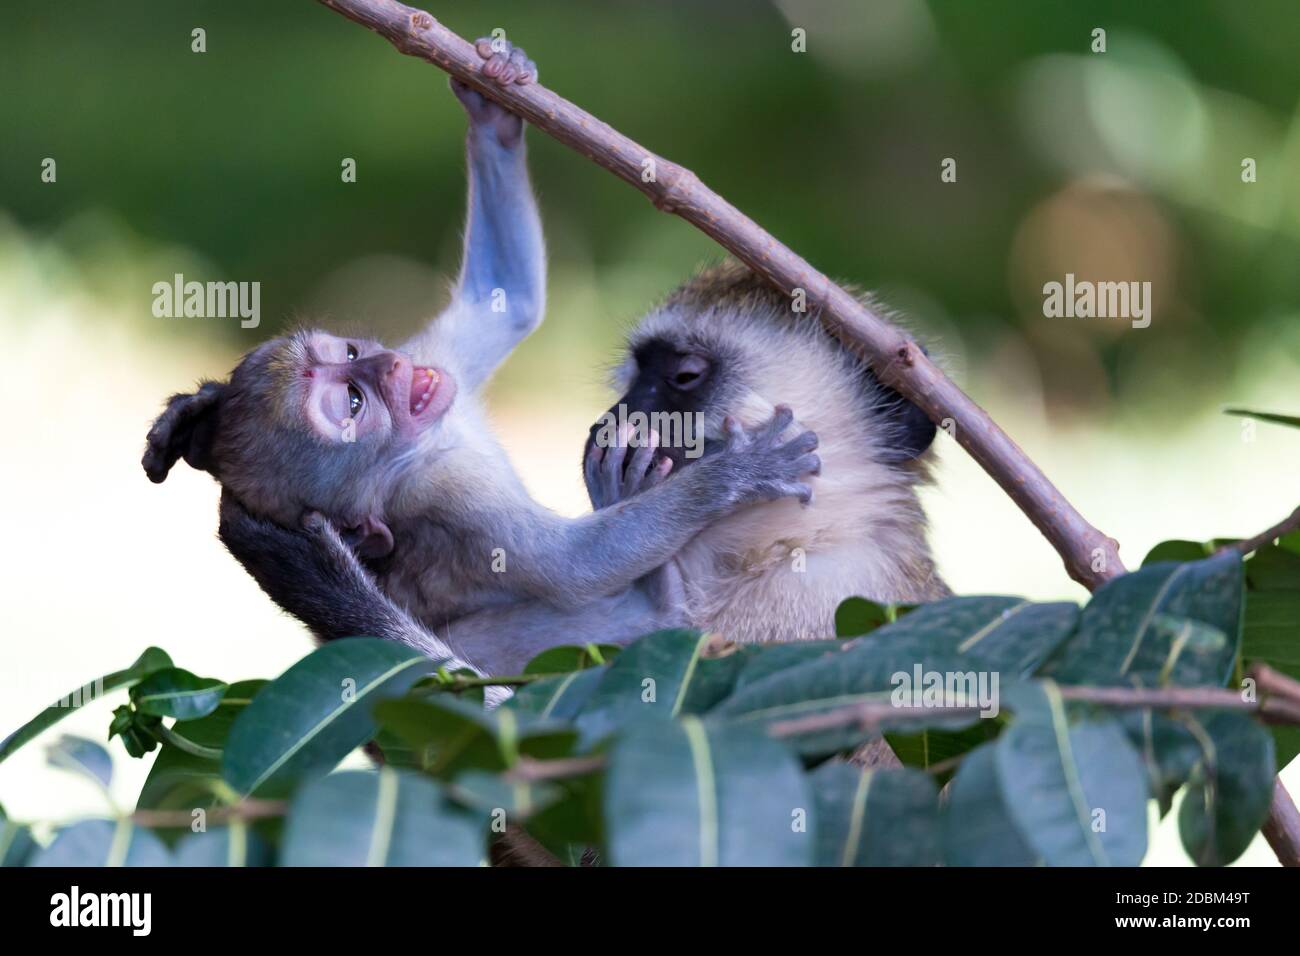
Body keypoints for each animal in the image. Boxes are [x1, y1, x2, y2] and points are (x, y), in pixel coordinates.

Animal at [144, 38, 821, 678]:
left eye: (351, 354)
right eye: (355, 403)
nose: (386, 367)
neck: (431, 440)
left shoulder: (436, 364)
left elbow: (506, 297)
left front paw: (493, 104)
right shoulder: (448, 494)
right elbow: (572, 567)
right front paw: (737, 475)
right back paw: (656, 587)